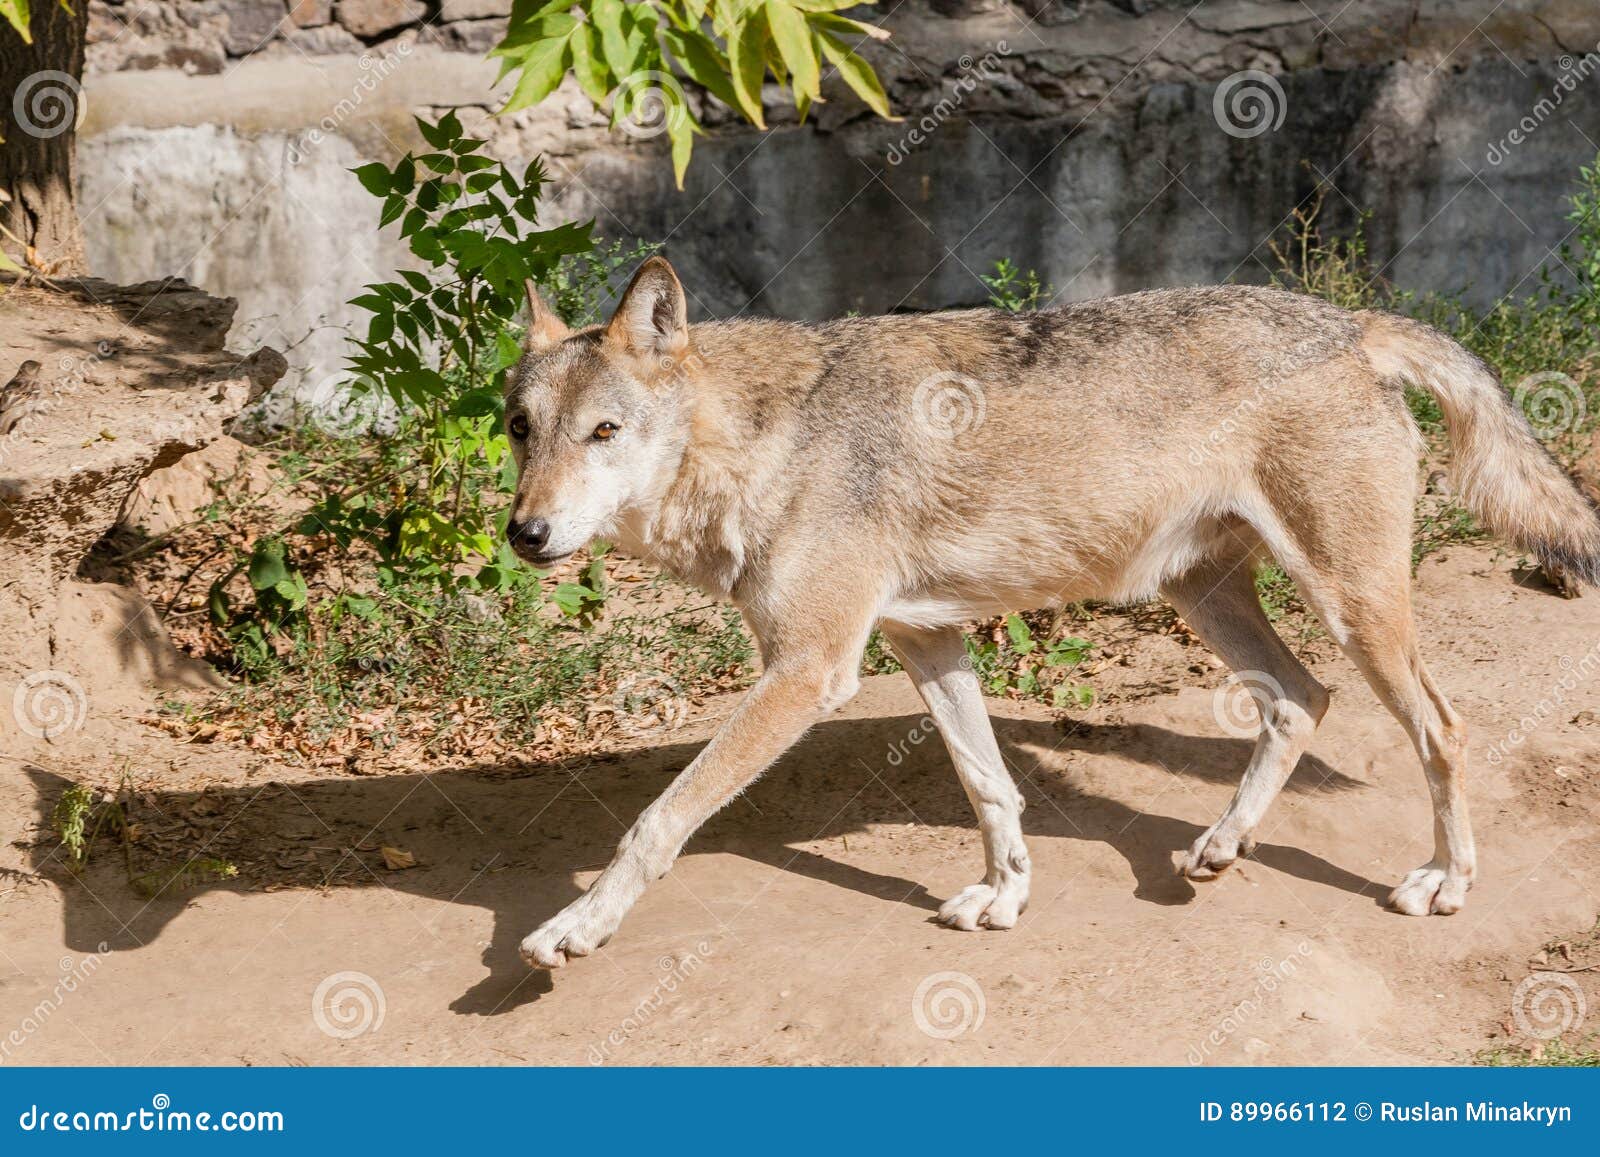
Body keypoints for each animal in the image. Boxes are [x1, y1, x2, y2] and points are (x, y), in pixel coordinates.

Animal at [502, 256, 1600, 968]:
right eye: (520, 429)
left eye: (604, 432)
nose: (525, 532)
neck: (752, 441)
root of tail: (1350, 317)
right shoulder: (926, 639)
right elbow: (989, 786)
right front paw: (1005, 893)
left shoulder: (810, 669)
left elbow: (660, 817)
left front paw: (575, 927)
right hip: (1210, 600)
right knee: (1302, 701)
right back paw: (1215, 848)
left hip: (1354, 610)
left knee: (1442, 729)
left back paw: (1445, 879)